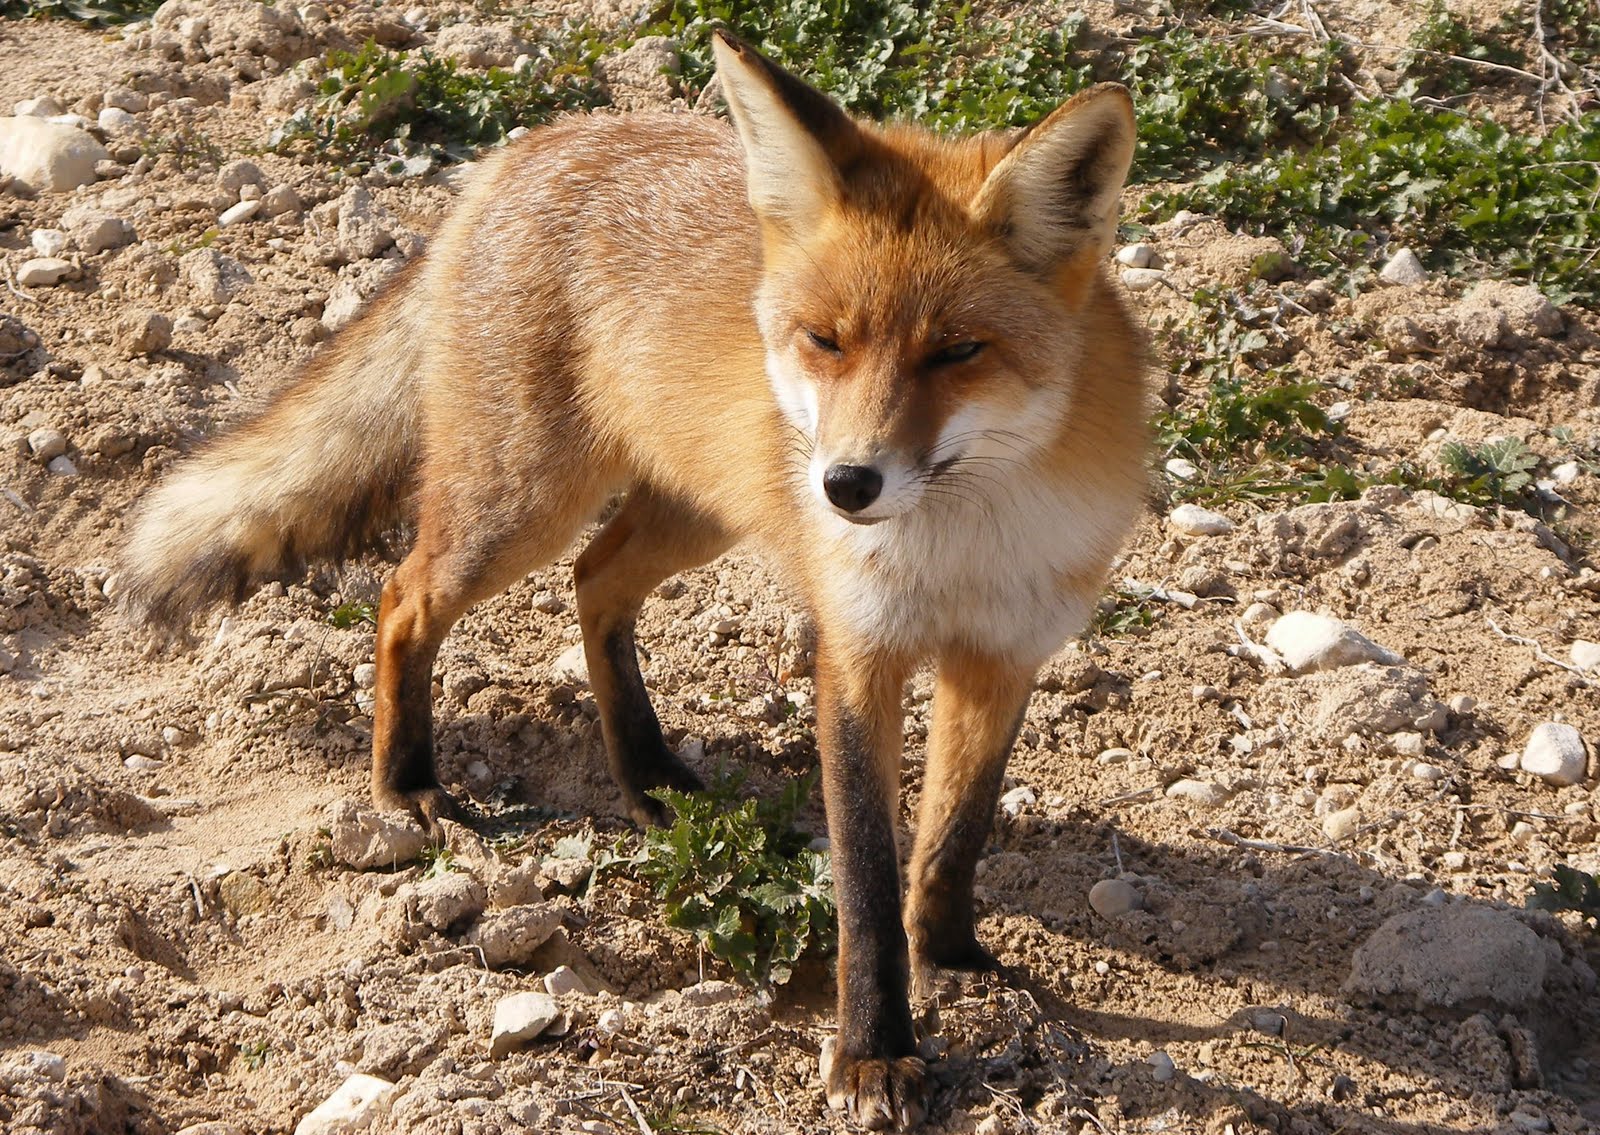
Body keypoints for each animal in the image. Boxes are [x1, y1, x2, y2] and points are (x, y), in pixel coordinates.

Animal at [120, 30, 1148, 1131]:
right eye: (826, 340)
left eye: (958, 351)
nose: (845, 484)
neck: (967, 540)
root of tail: (538, 142)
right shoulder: (855, 653)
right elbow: (867, 881)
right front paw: (873, 1050)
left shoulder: (1004, 657)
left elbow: (954, 834)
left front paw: (954, 957)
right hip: (521, 509)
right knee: (404, 596)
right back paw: (406, 783)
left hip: (692, 513)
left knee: (593, 582)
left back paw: (645, 770)